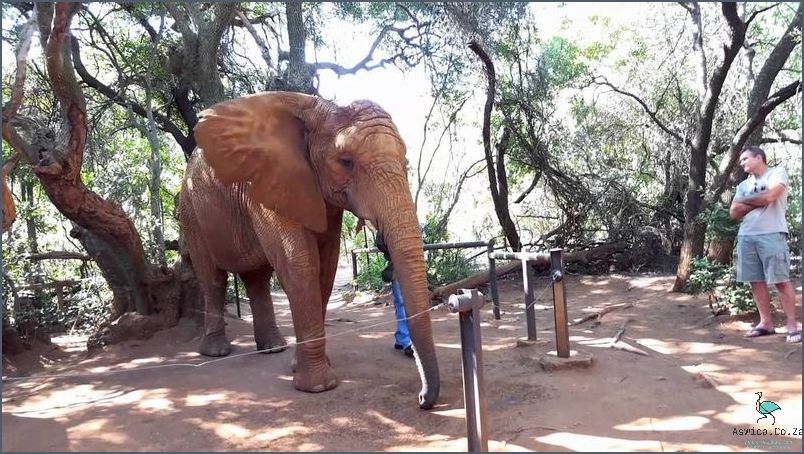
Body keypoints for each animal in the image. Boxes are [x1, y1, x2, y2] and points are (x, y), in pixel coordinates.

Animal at [178, 91, 439, 409]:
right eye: (346, 161)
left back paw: (273, 348)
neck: (321, 110)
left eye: (404, 161)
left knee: (257, 279)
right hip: (191, 212)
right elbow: (301, 265)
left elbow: (326, 266)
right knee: (213, 279)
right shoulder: (269, 187)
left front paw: (302, 368)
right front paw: (318, 386)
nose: (422, 398)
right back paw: (217, 352)